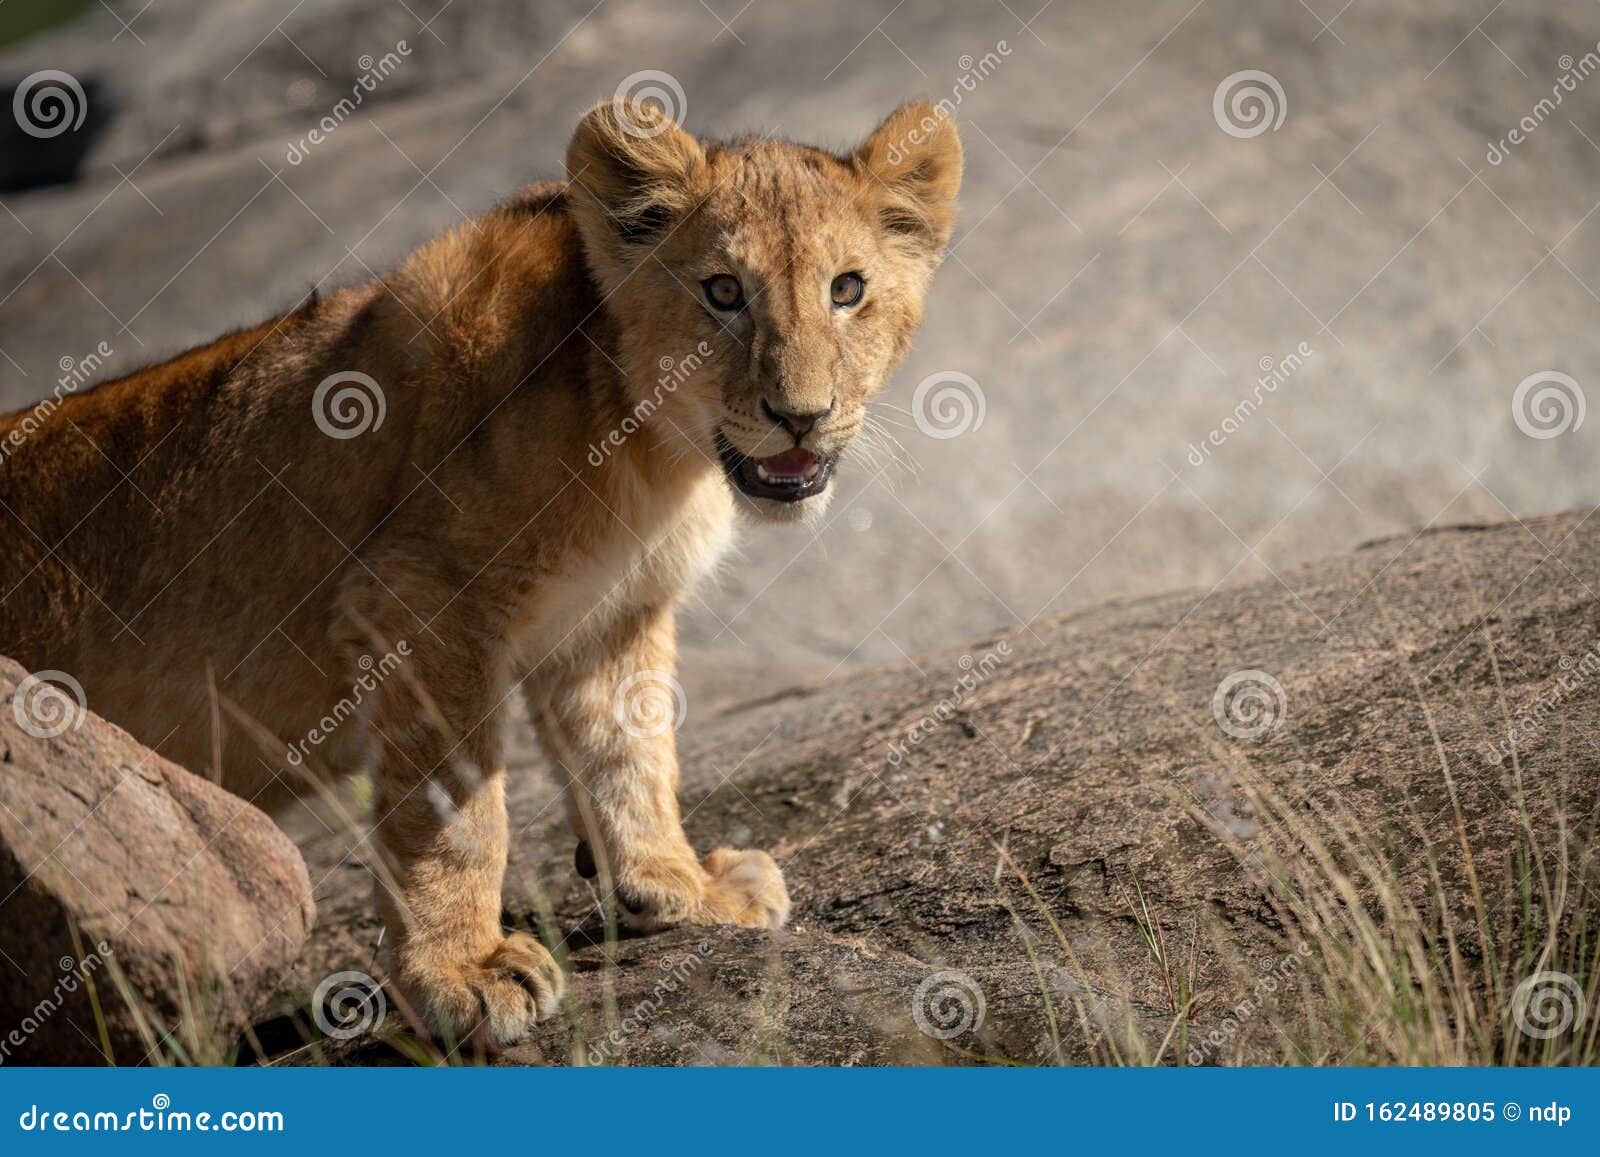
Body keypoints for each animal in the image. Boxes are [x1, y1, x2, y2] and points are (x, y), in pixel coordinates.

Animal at [0, 99, 961, 1045]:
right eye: (723, 292)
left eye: (848, 289)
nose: (801, 416)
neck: (649, 446)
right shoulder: (425, 600)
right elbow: (458, 806)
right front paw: (461, 972)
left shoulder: (610, 613)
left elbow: (630, 751)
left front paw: (677, 884)